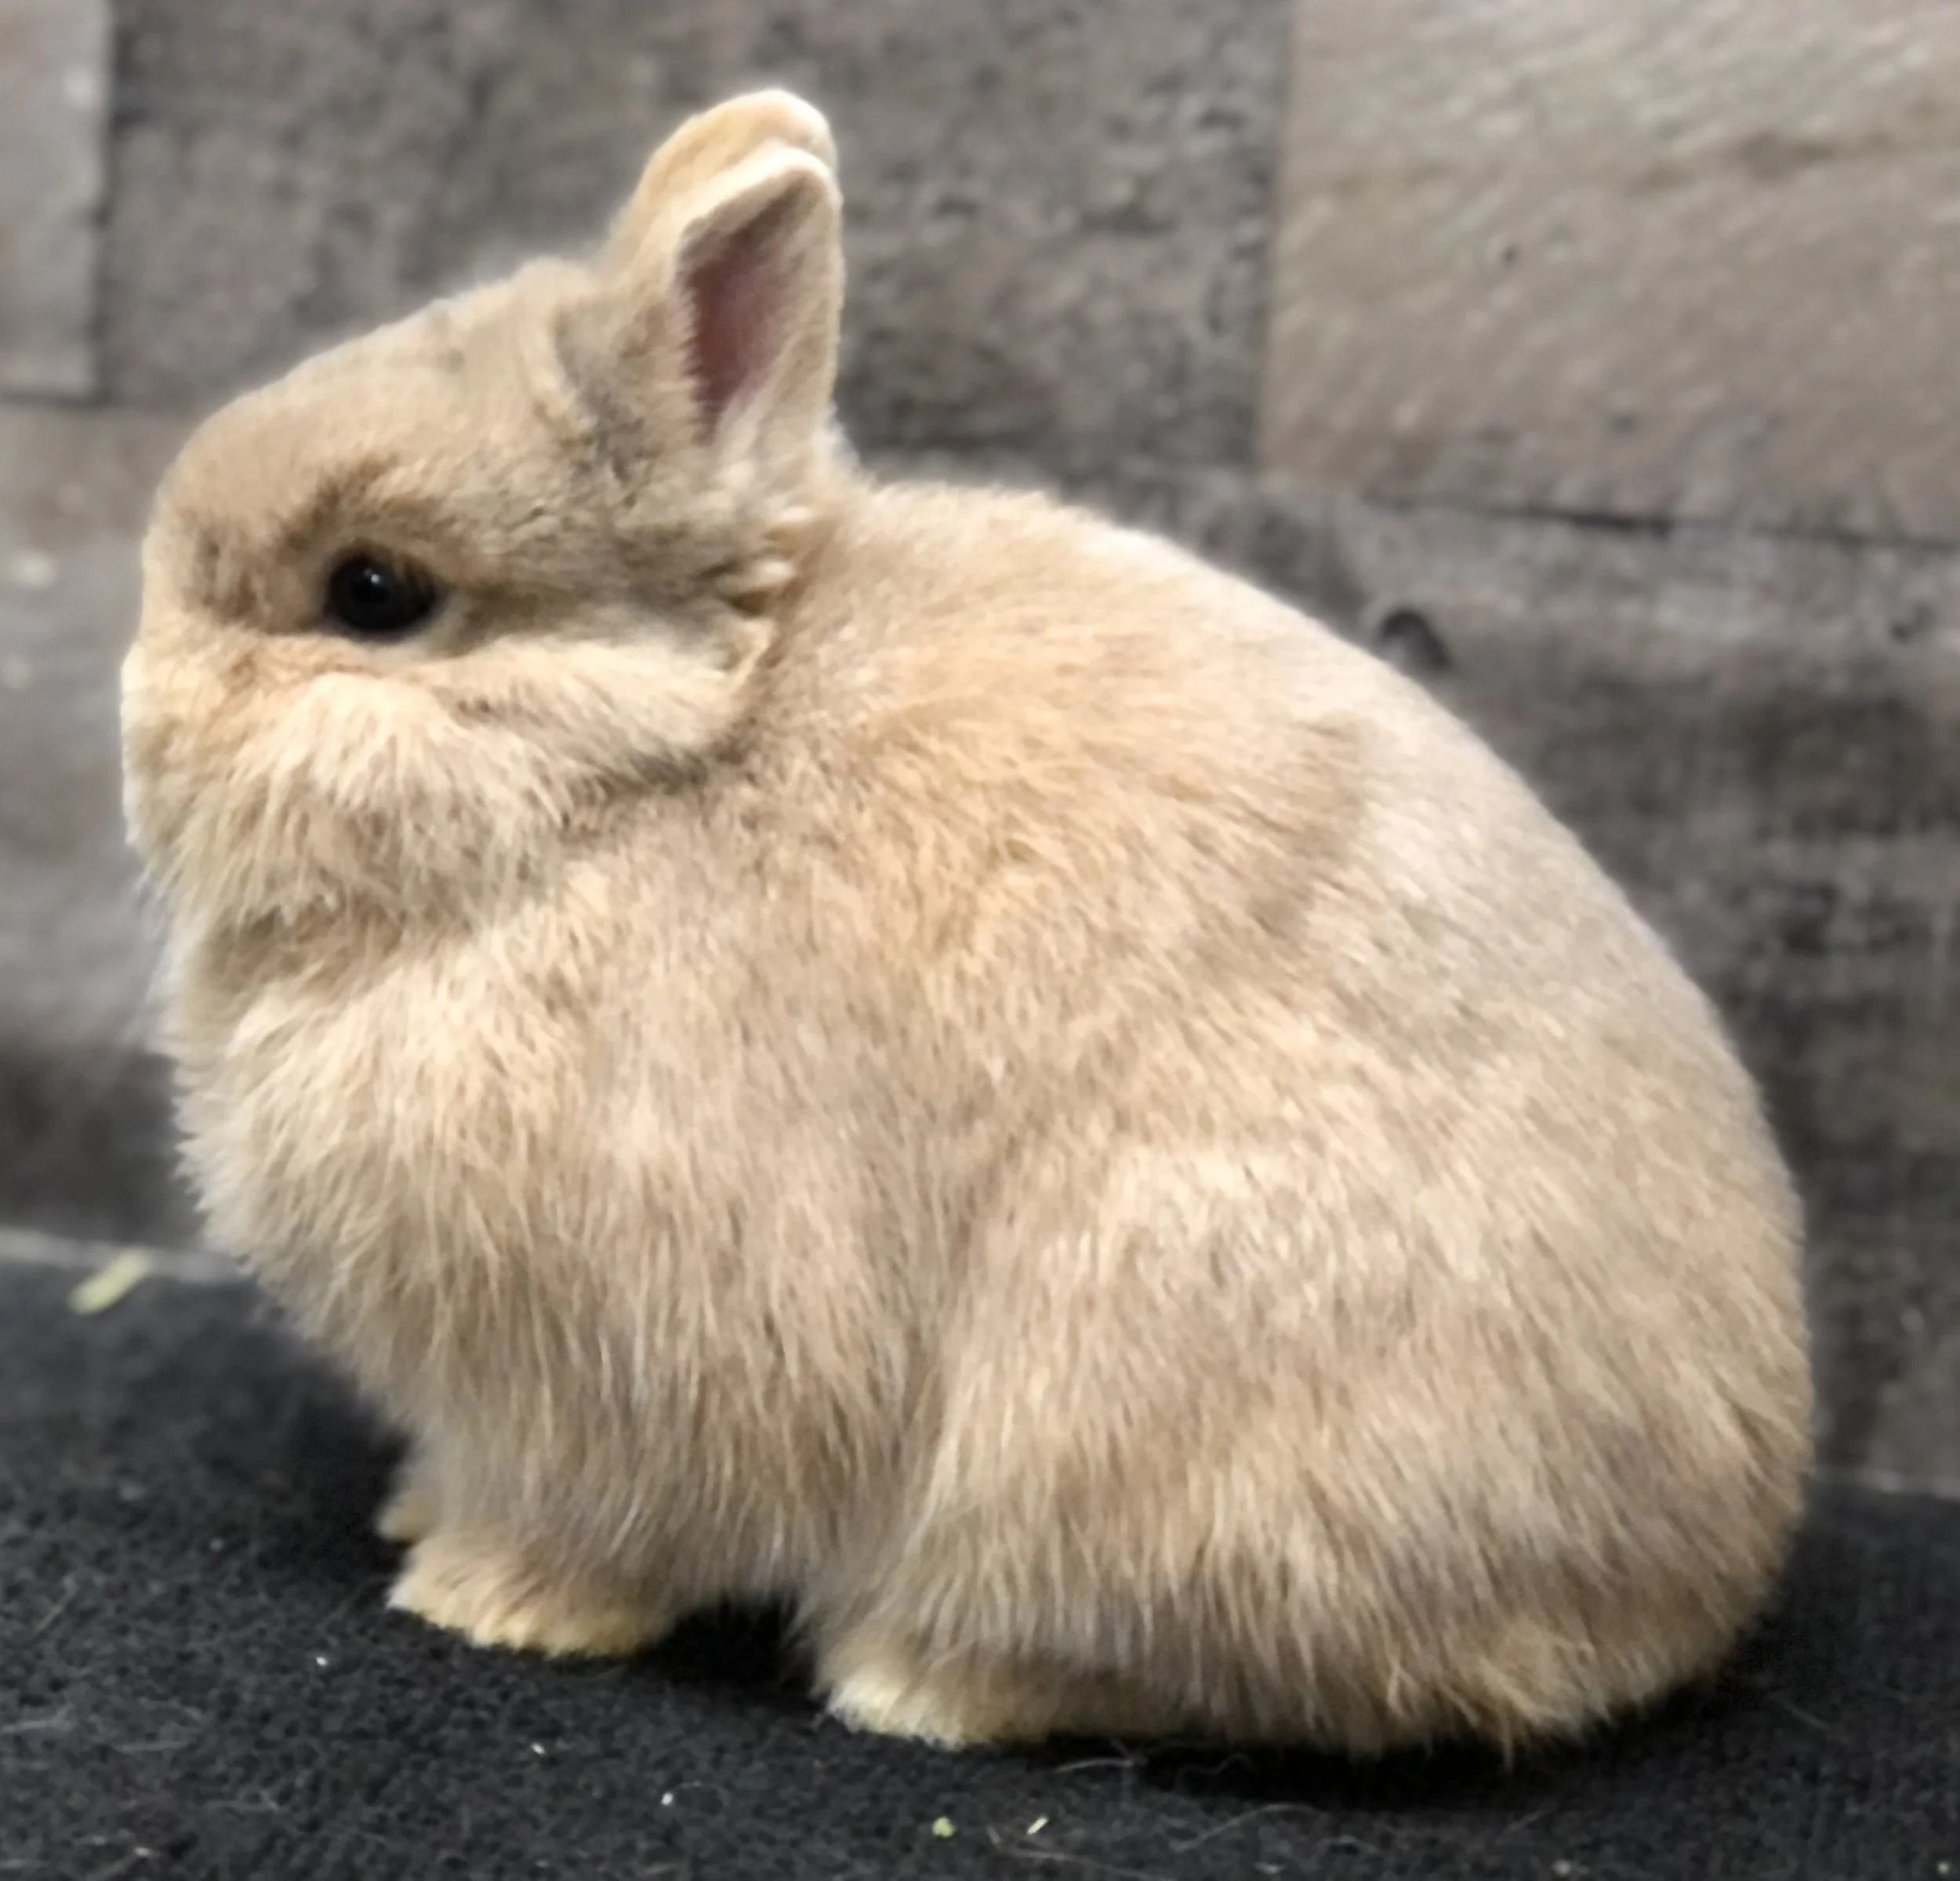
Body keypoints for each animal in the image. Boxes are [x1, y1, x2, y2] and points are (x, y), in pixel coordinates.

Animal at [120, 88, 1812, 1755]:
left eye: (376, 592)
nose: (134, 716)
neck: (633, 768)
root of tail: (1704, 1568)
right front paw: (415, 1515)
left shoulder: (639, 1354)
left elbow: (604, 1522)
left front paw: (476, 1598)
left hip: (1128, 1401)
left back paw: (912, 1682)